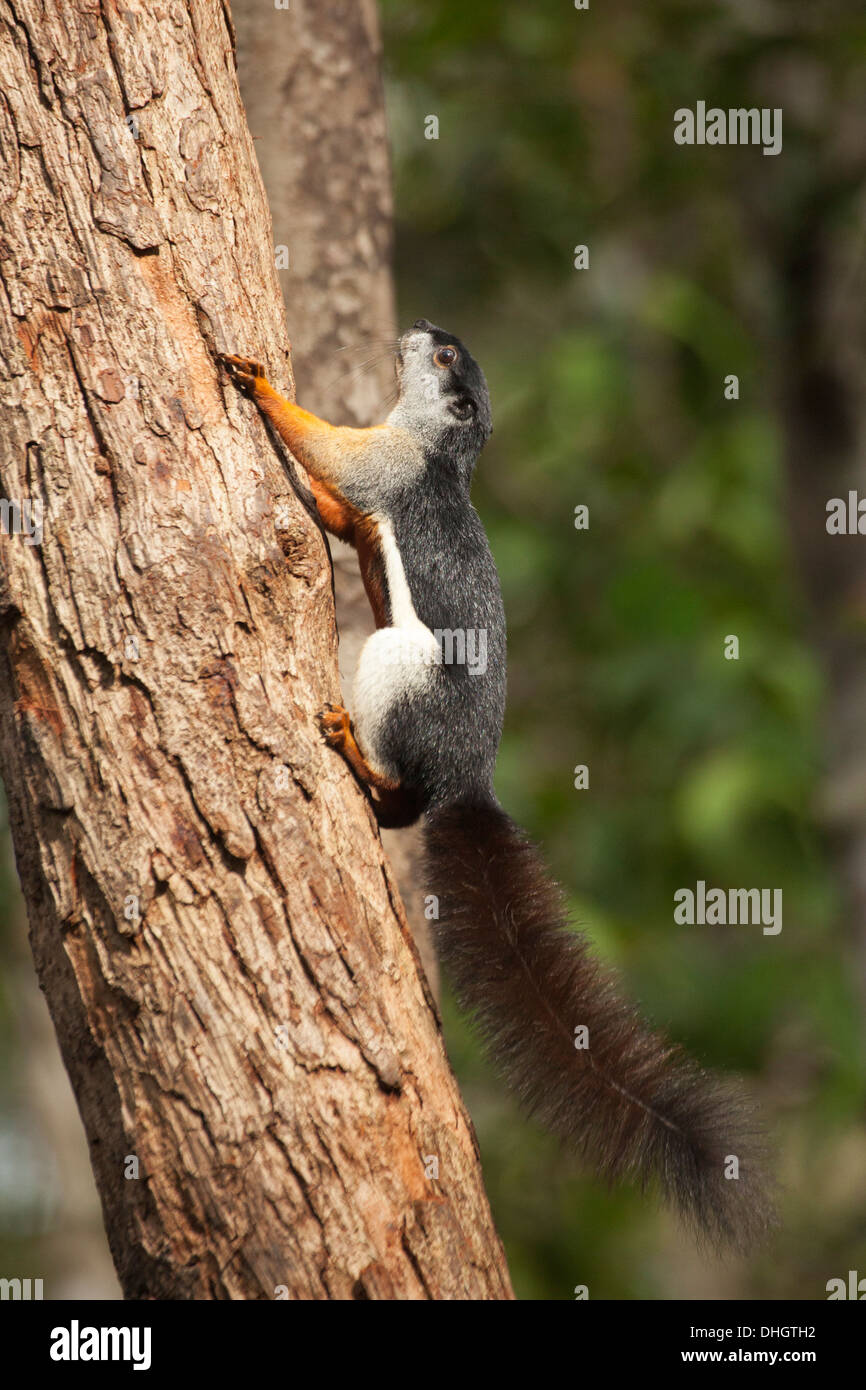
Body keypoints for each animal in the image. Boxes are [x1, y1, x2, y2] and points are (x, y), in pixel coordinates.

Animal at [221, 320, 774, 1251]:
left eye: (446, 360)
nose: (422, 329)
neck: (444, 453)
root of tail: (467, 781)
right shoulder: (371, 496)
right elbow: (335, 515)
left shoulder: (385, 461)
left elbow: (327, 450)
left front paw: (258, 383)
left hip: (395, 666)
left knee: (398, 799)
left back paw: (356, 753)